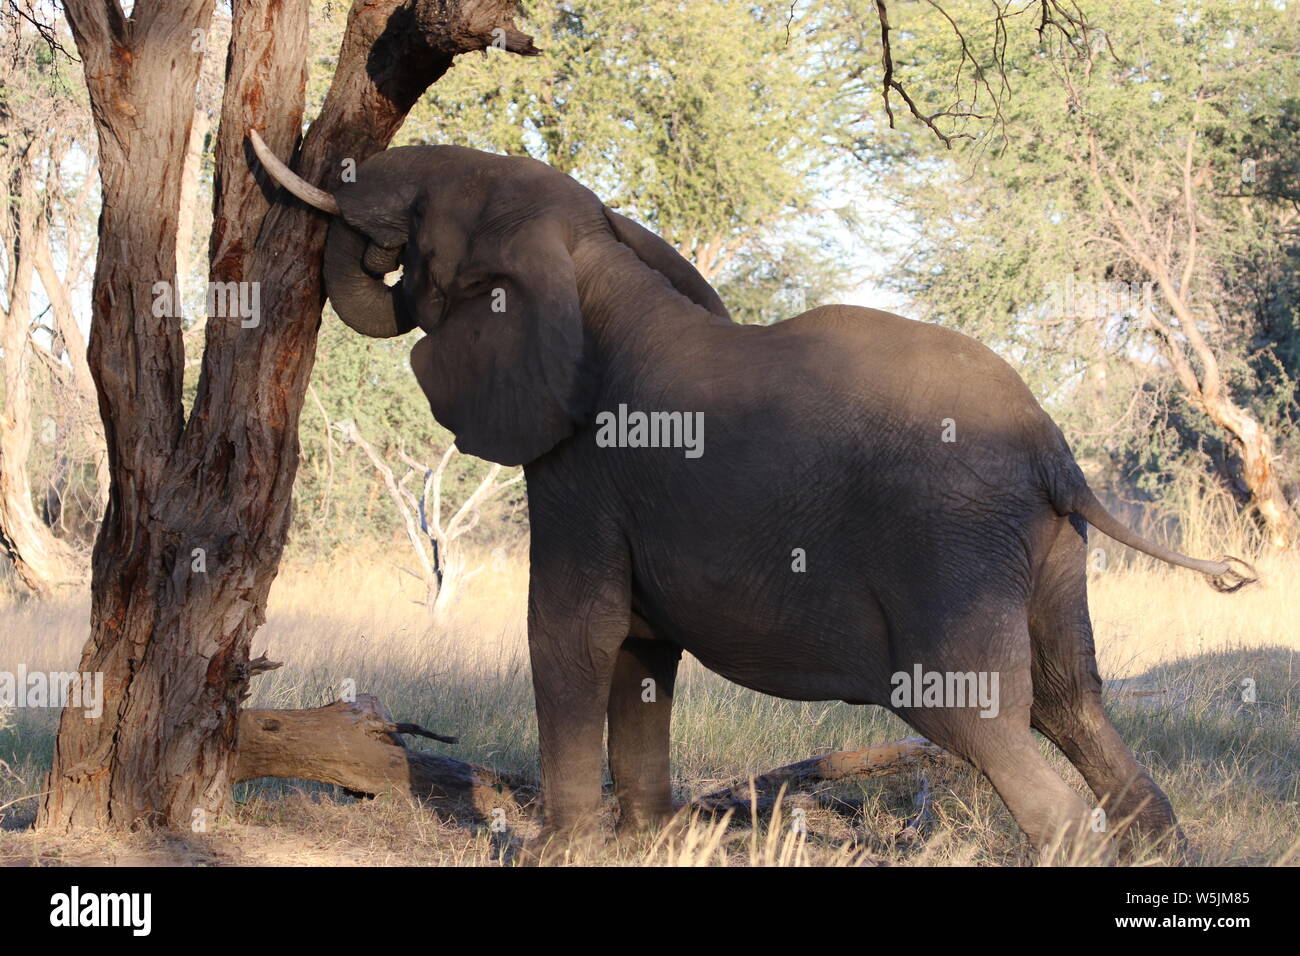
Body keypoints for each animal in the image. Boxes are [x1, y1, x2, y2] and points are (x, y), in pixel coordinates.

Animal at [250, 131, 1254, 861]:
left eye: (425, 220)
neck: (593, 260)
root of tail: (1055, 449)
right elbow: (641, 649)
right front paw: (651, 839)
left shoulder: (583, 466)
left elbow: (572, 632)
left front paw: (556, 852)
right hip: (1044, 547)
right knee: (1069, 700)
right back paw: (1164, 853)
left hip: (952, 544)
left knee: (976, 715)